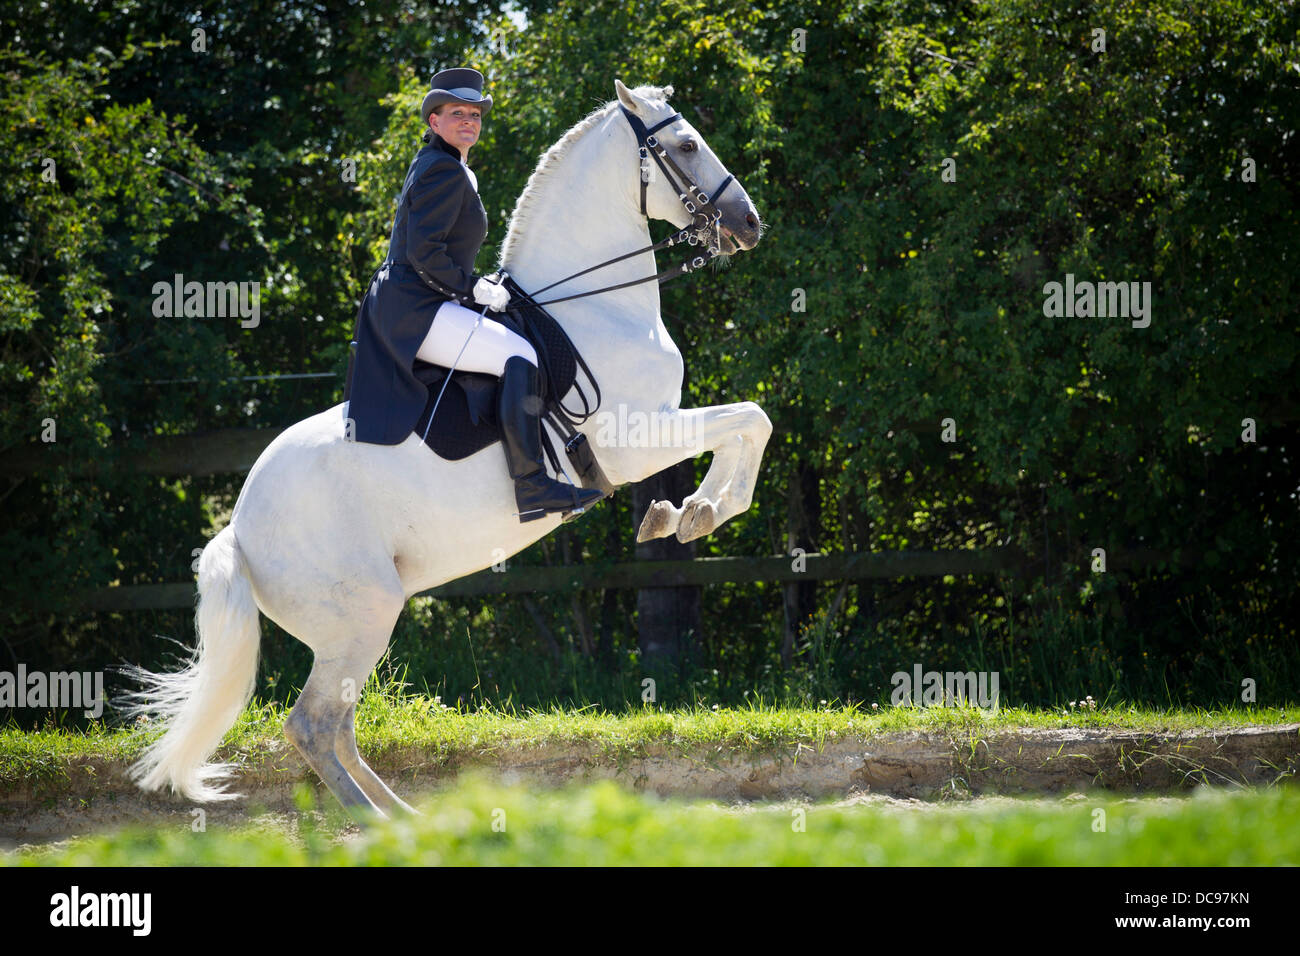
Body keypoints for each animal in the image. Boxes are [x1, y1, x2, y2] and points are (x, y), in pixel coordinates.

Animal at [124, 79, 772, 818]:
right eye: (687, 145)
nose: (750, 224)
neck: (594, 307)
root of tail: (238, 528)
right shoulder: (642, 437)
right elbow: (751, 419)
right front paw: (697, 513)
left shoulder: (658, 430)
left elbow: (748, 423)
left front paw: (681, 514)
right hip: (360, 617)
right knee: (313, 724)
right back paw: (378, 824)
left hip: (358, 624)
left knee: (338, 727)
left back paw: (404, 818)